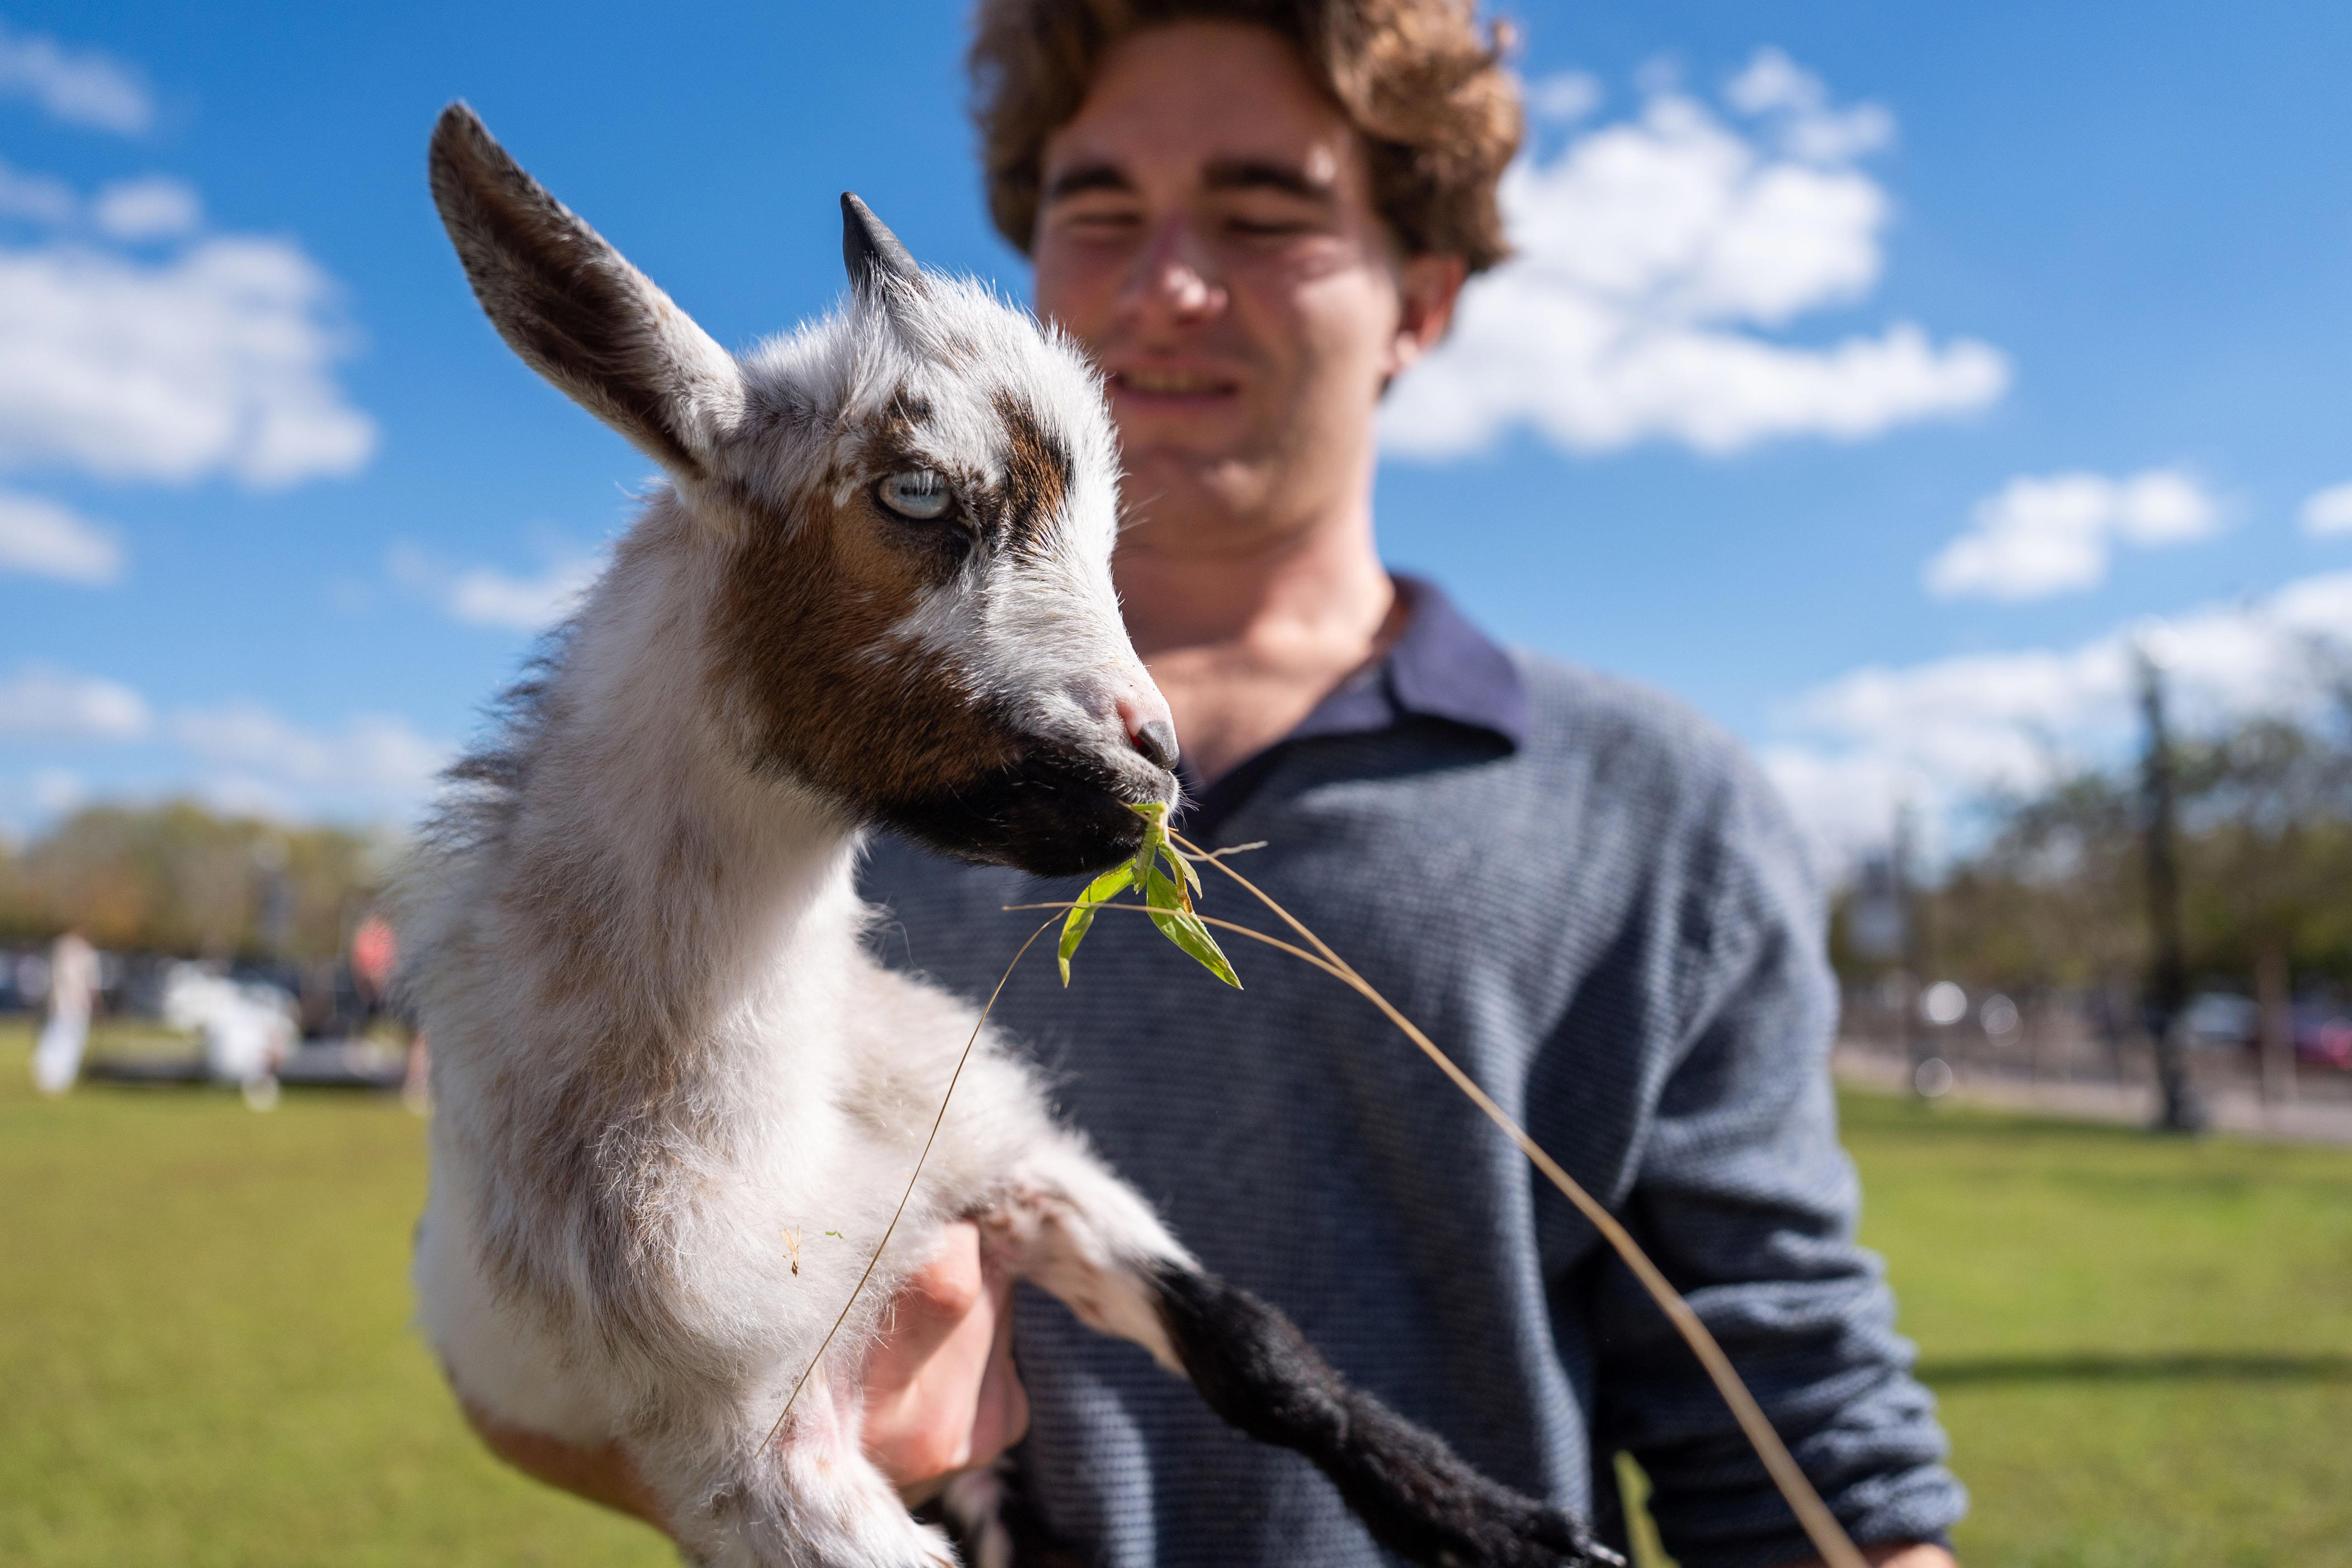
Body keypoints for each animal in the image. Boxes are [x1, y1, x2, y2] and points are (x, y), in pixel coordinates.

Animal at [405, 104, 1617, 1568]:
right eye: (917, 493)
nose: (1155, 762)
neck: (786, 1118)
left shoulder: (1009, 1156)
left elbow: (1256, 1350)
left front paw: (1513, 1528)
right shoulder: (743, 1451)